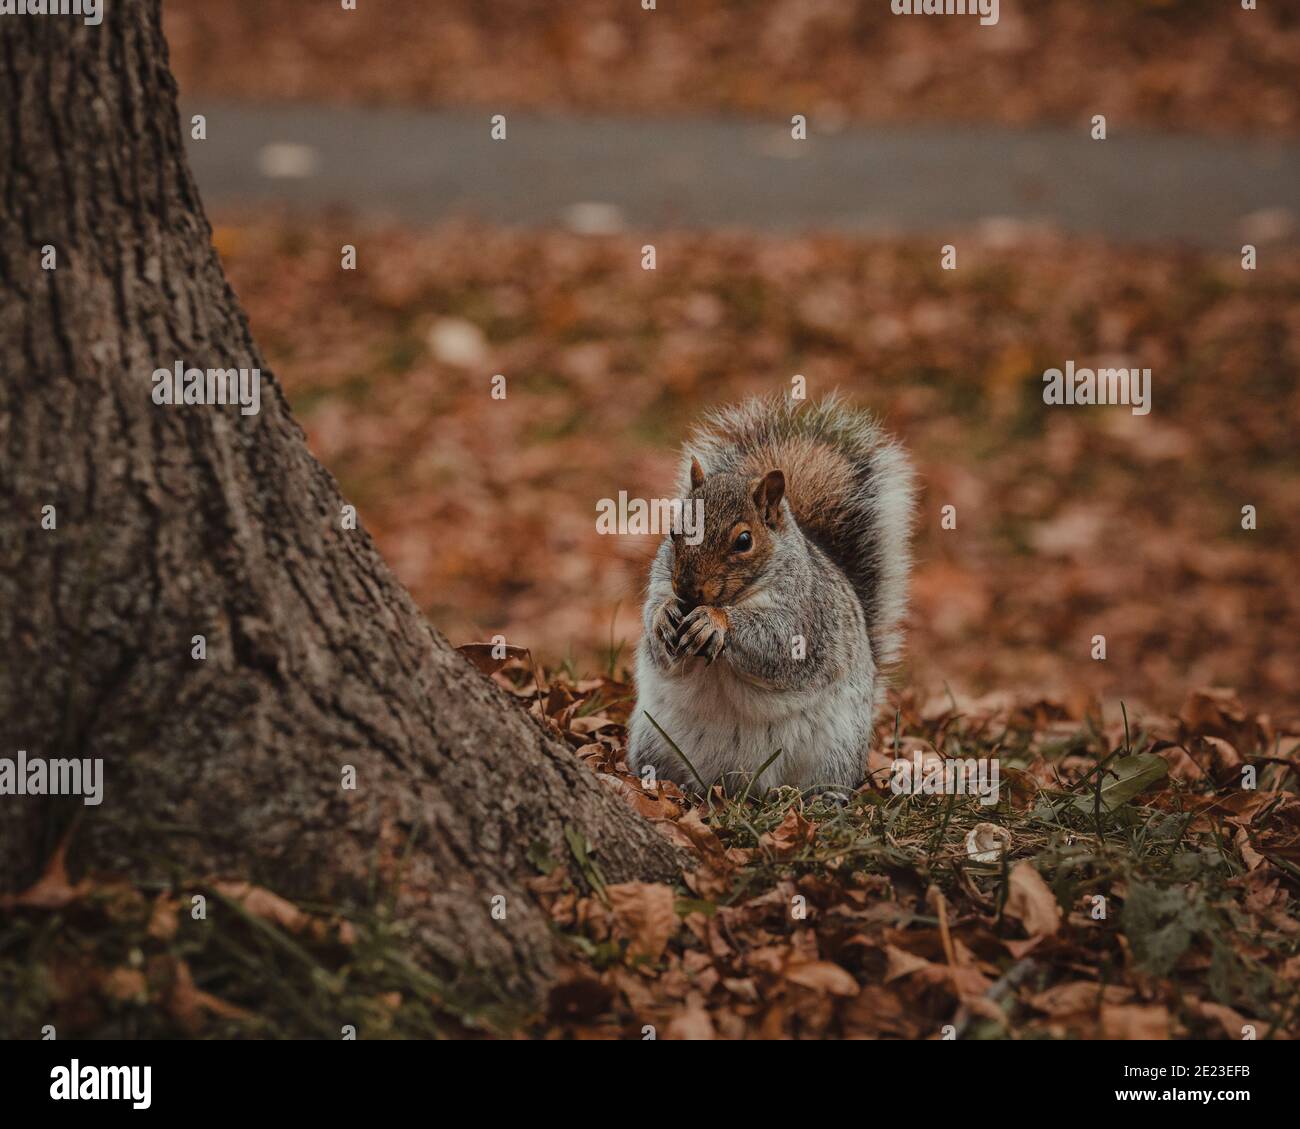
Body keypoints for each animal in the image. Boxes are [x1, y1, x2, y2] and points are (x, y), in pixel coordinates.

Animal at [627, 393, 916, 792]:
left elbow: (777, 642)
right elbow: (659, 645)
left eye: (744, 541)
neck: (735, 597)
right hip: (652, 739)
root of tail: (736, 783)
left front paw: (714, 621)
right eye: (673, 531)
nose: (686, 590)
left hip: (835, 751)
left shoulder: (804, 615)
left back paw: (826, 797)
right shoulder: (660, 583)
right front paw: (665, 615)